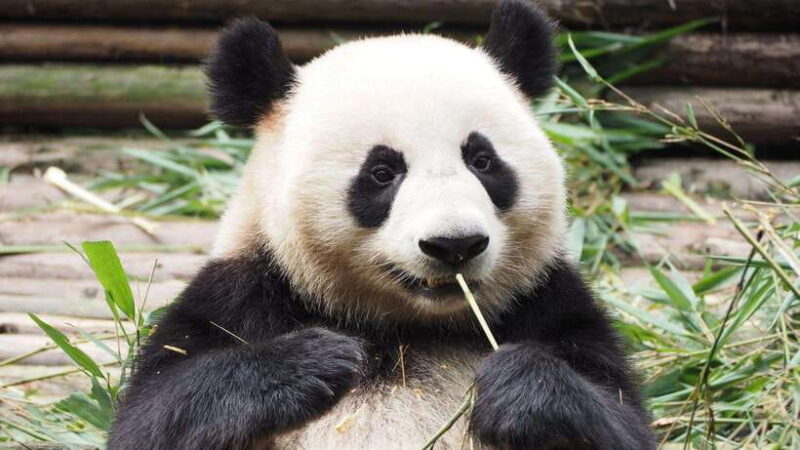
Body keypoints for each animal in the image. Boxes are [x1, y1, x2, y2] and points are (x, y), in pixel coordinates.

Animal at [108, 1, 656, 449]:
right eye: (382, 172)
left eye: (482, 160)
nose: (454, 245)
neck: (402, 328)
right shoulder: (243, 291)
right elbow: (154, 414)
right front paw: (314, 362)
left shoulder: (547, 300)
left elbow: (620, 419)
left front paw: (517, 387)